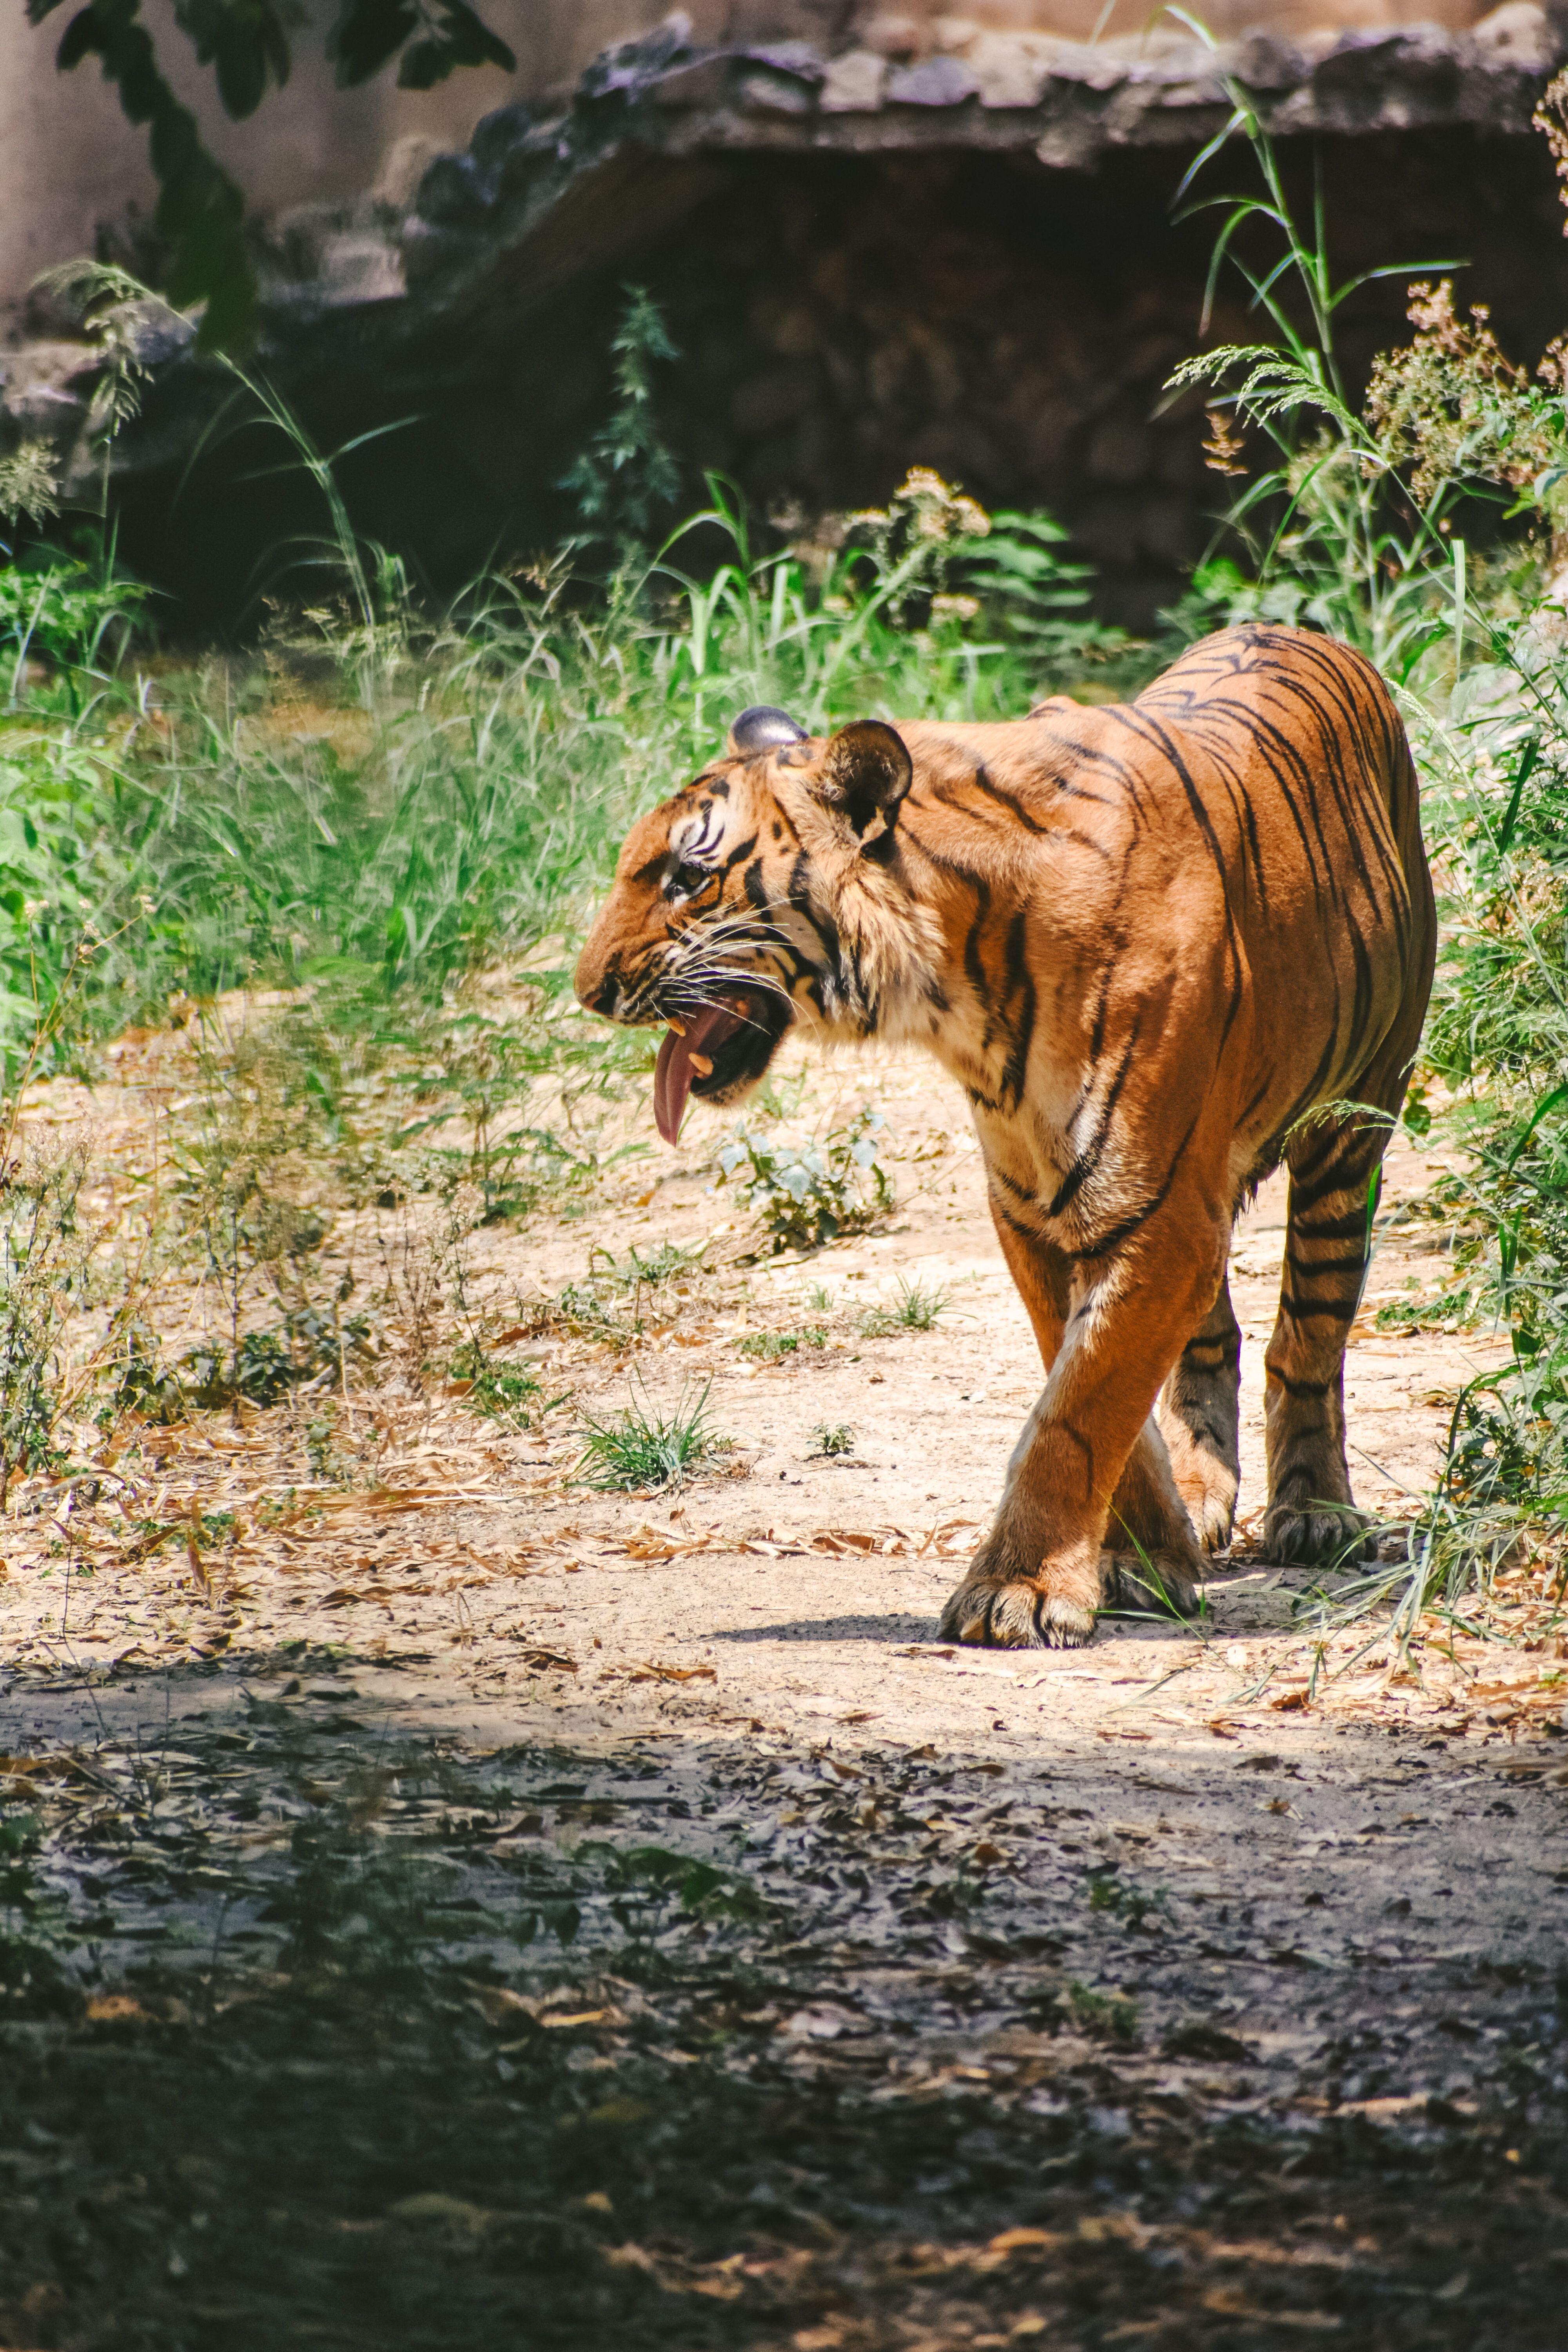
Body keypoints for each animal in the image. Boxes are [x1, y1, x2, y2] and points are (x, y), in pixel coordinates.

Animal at [574, 623, 1437, 1649]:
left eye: (687, 878)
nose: (586, 990)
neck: (955, 990)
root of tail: (1299, 630)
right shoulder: (1043, 1207)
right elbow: (1096, 1390)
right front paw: (1145, 1558)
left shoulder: (1155, 1212)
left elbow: (1080, 1407)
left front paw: (1017, 1590)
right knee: (1211, 1340)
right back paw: (1204, 1501)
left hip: (1351, 1127)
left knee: (1309, 1330)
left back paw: (1316, 1515)